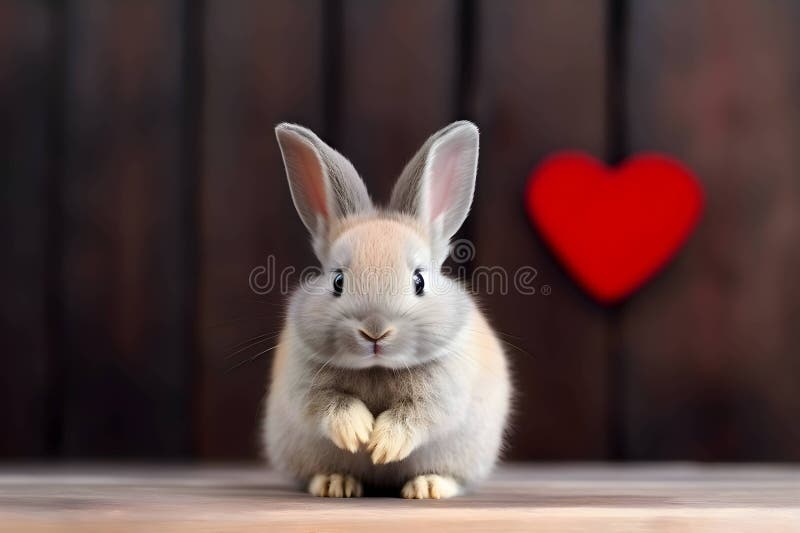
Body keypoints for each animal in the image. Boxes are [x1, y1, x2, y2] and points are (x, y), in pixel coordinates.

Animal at [264, 120, 512, 499]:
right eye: (338, 280)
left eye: (419, 280)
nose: (375, 330)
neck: (377, 368)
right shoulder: (303, 386)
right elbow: (327, 404)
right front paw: (359, 433)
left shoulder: (443, 394)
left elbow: (419, 415)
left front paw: (381, 446)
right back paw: (335, 483)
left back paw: (427, 487)